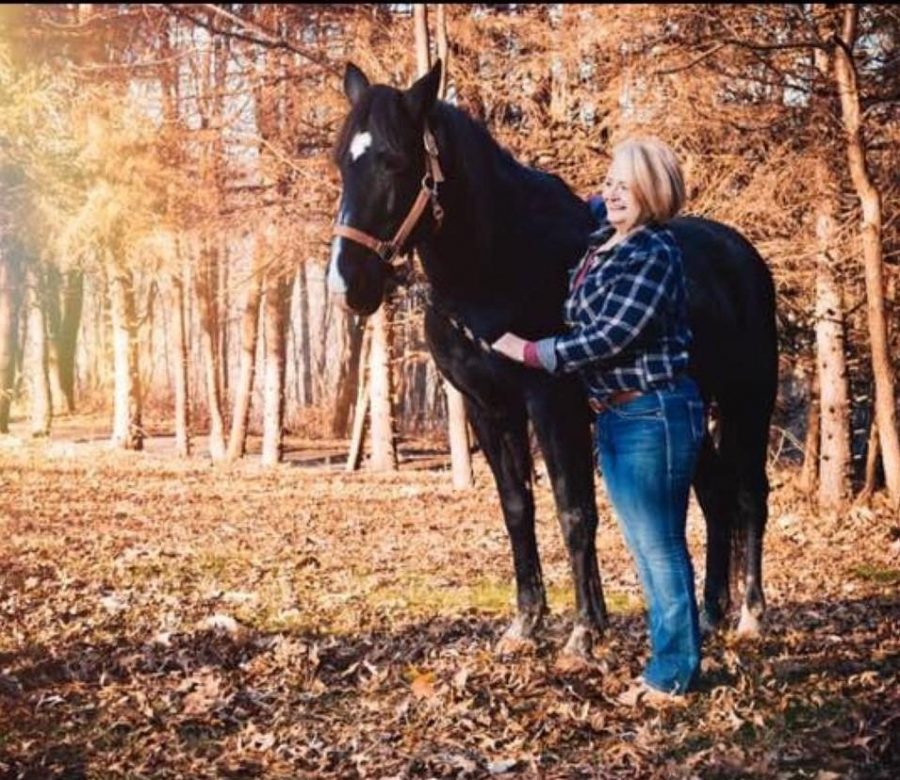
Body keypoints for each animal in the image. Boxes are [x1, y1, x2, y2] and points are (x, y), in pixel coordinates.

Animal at [327, 60, 778, 659]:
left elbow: (574, 511)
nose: (347, 285)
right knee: (714, 496)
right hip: (692, 406)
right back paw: (708, 614)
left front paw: (583, 634)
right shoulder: (489, 410)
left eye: (395, 161)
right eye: (341, 162)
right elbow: (518, 510)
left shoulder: (552, 404)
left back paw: (750, 615)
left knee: (750, 497)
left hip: (748, 401)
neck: (498, 267)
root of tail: (744, 256)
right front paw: (528, 624)